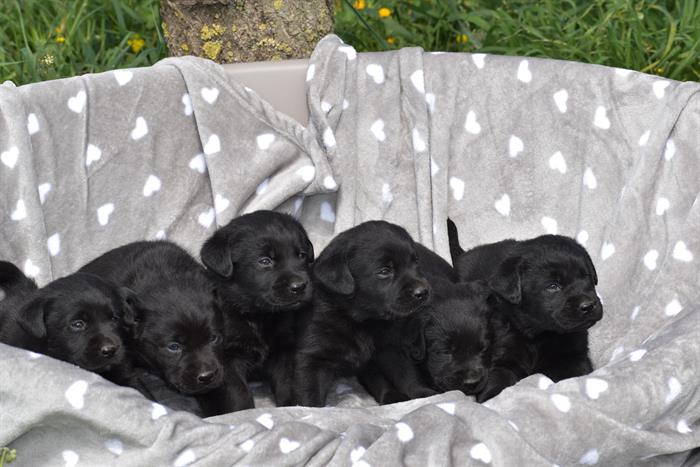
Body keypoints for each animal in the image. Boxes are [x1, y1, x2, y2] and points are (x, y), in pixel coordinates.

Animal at [200, 210, 314, 408]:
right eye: (264, 261)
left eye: (301, 255)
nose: (299, 286)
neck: (258, 316)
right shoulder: (226, 358)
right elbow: (238, 392)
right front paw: (243, 412)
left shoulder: (283, 349)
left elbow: (287, 382)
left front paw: (291, 405)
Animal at [292, 221, 430, 408]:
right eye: (384, 271)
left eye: (416, 262)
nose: (423, 292)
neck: (363, 322)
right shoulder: (312, 357)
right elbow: (309, 392)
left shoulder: (391, 347)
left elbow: (408, 375)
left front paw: (424, 394)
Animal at [448, 219, 600, 402]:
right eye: (553, 286)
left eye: (586, 276)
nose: (588, 305)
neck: (539, 336)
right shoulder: (503, 354)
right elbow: (498, 376)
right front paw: (489, 397)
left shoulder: (574, 357)